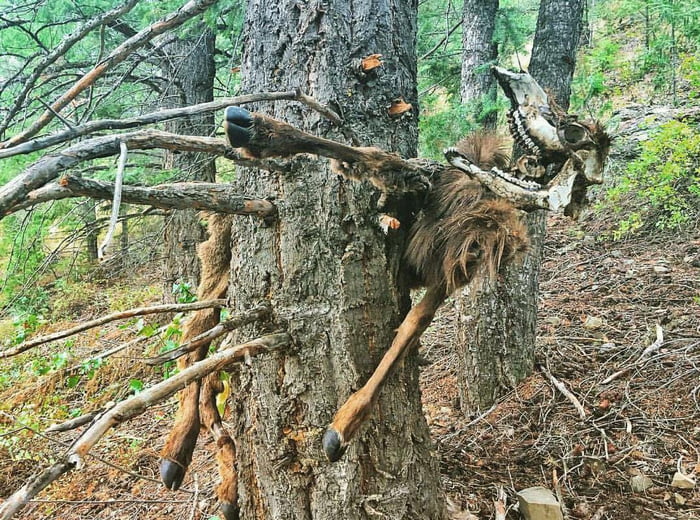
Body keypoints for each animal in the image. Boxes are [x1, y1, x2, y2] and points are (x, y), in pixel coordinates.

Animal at [158, 66, 610, 519]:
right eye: (569, 129)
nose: (509, 76)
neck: (477, 206)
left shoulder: (451, 271)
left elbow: (410, 329)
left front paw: (342, 427)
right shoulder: (421, 189)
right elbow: (372, 156)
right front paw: (257, 130)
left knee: (210, 355)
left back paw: (222, 481)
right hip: (222, 248)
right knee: (196, 335)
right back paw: (178, 451)